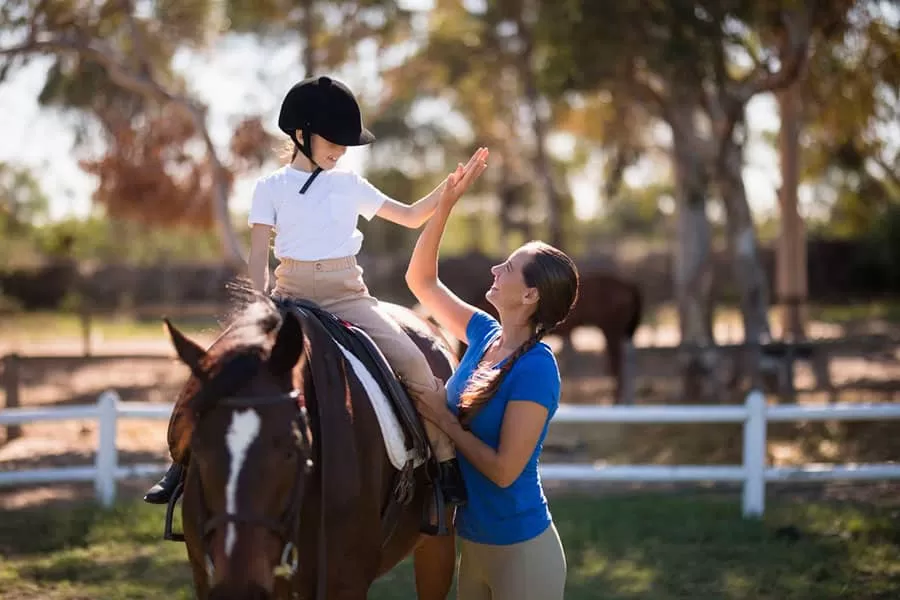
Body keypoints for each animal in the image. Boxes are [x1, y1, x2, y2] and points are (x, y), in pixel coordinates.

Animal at [434, 251, 640, 406]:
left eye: (509, 267)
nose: (495, 272)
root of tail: (629, 285)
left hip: (611, 330)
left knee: (617, 365)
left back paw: (618, 401)